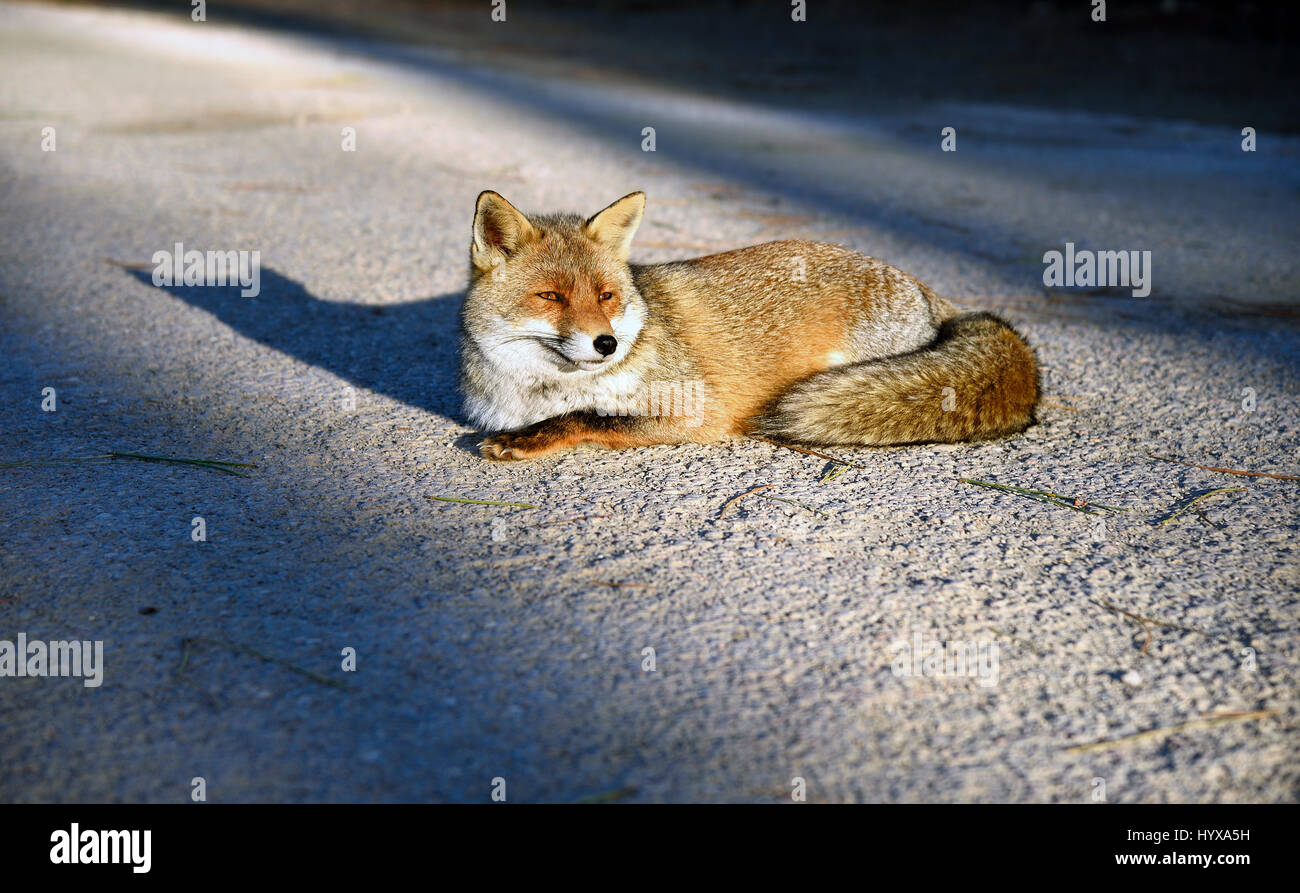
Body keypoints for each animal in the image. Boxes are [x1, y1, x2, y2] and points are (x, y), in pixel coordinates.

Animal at [460, 190, 1039, 460]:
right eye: (551, 296)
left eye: (605, 296)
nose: (608, 343)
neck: (541, 392)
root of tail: (928, 290)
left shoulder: (697, 410)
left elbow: (589, 418)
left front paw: (531, 438)